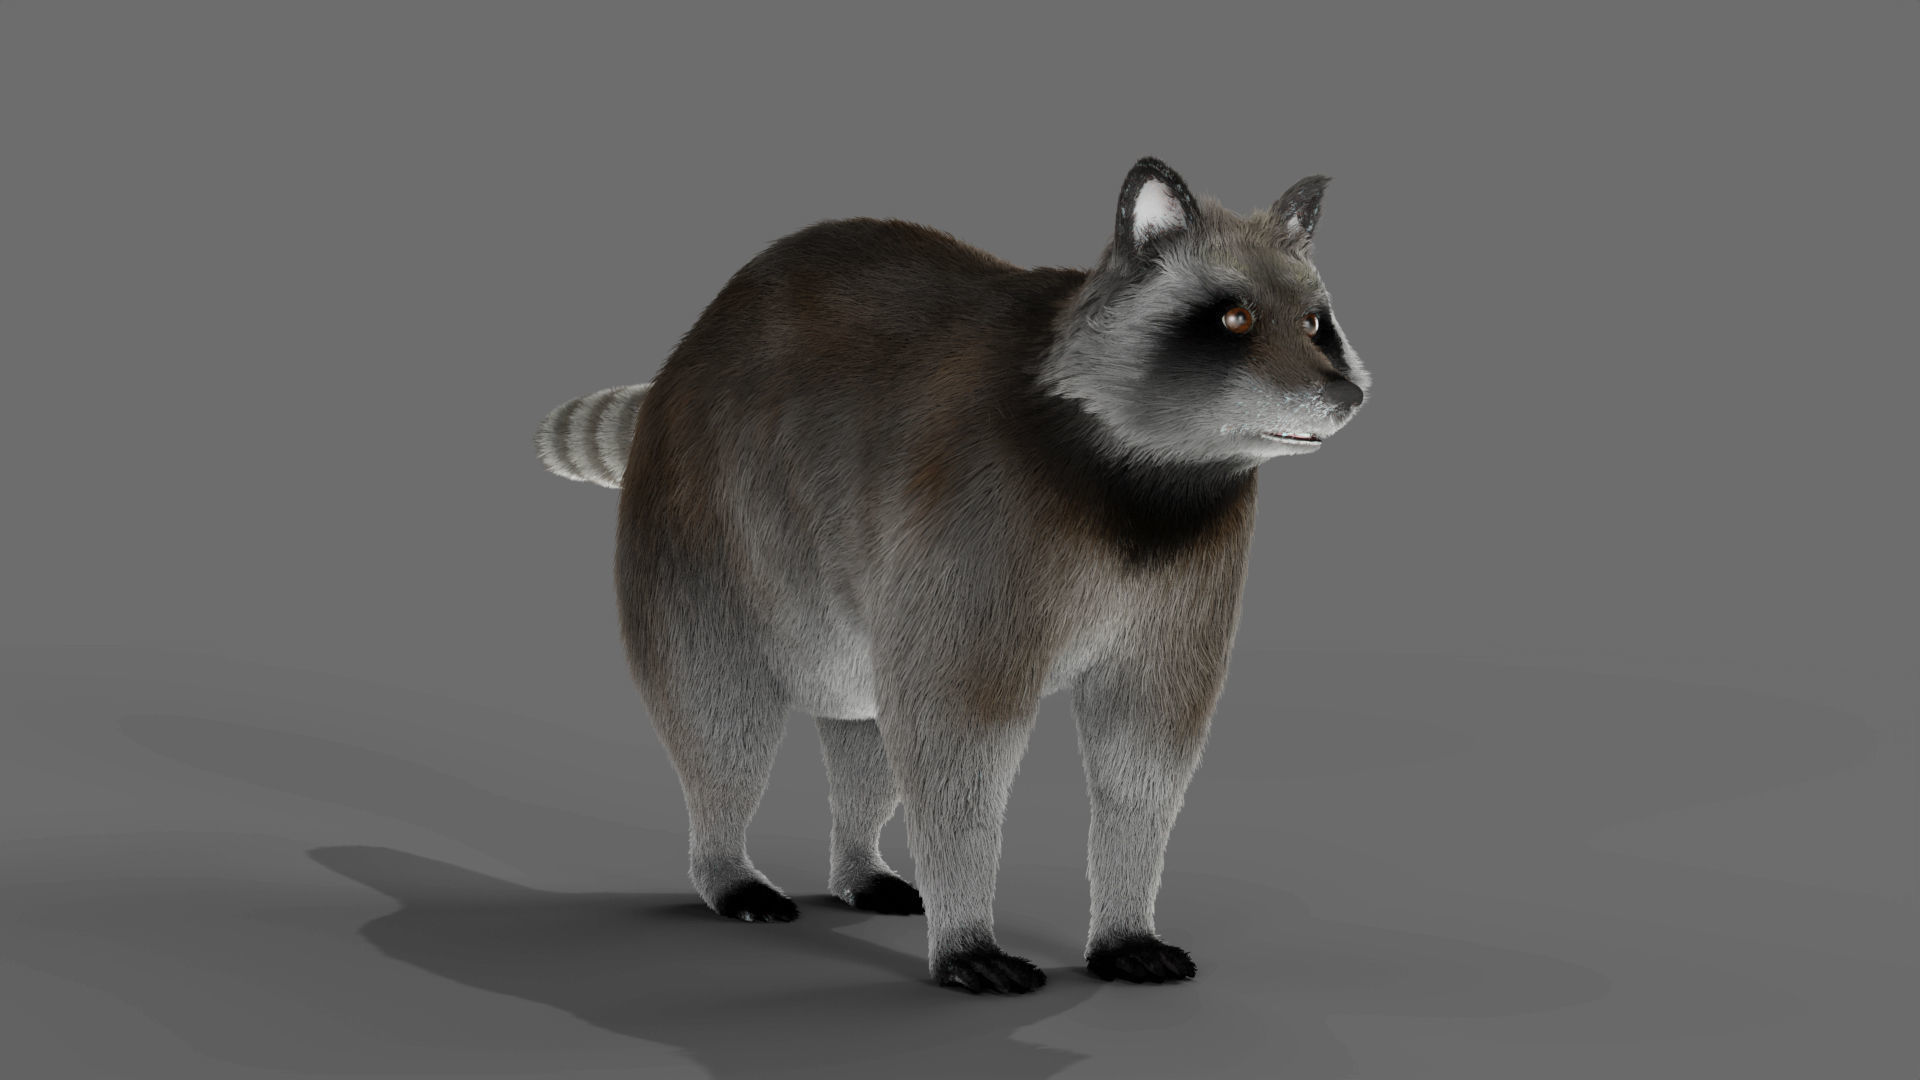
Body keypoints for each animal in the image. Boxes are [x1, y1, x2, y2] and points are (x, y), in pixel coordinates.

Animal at [534, 157, 1368, 994]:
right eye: (1235, 319)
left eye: (1315, 323)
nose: (1349, 394)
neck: (1150, 476)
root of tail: (684, 356)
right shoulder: (976, 530)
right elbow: (957, 746)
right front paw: (966, 933)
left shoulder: (1187, 580)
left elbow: (1144, 755)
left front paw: (1126, 922)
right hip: (706, 540)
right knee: (719, 721)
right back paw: (724, 861)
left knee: (865, 735)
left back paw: (857, 860)